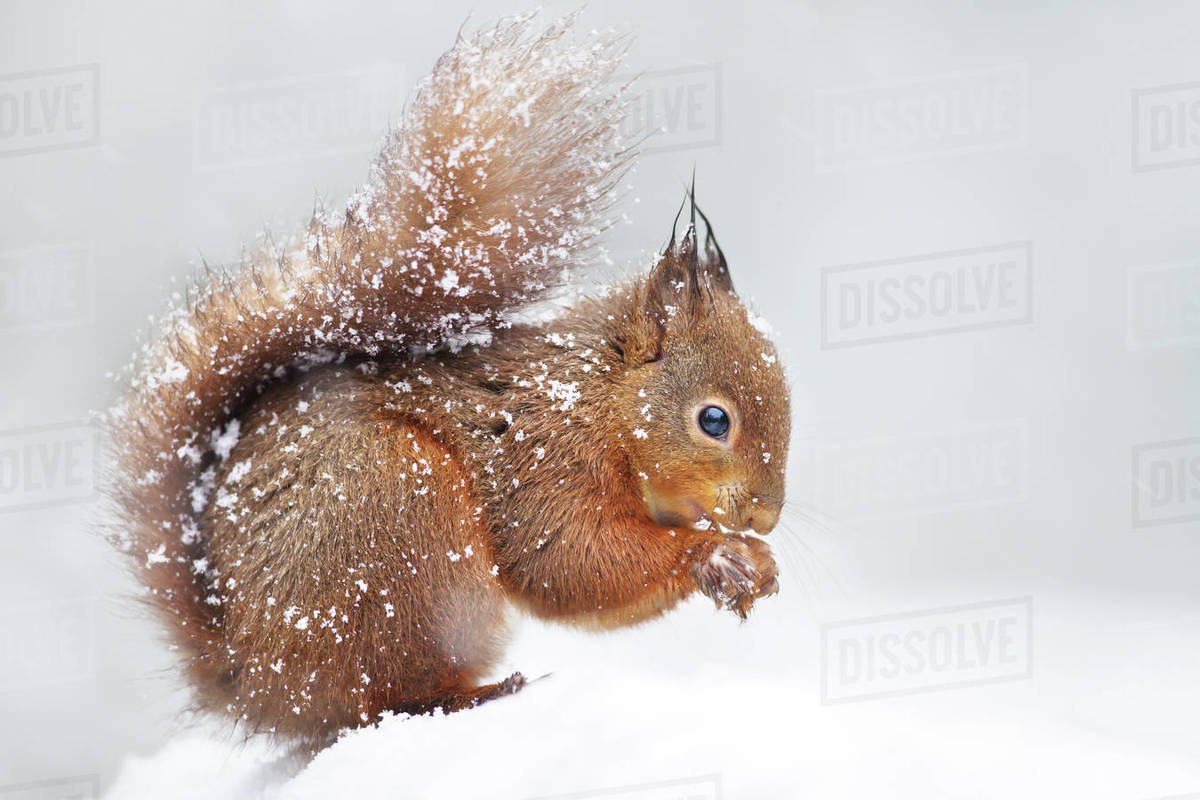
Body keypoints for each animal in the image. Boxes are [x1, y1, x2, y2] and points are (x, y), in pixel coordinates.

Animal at [104, 14, 790, 743]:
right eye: (714, 420)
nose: (765, 517)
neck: (601, 398)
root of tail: (254, 680)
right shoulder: (543, 459)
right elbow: (572, 566)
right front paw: (717, 555)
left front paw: (753, 560)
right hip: (400, 522)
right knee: (385, 700)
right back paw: (474, 695)